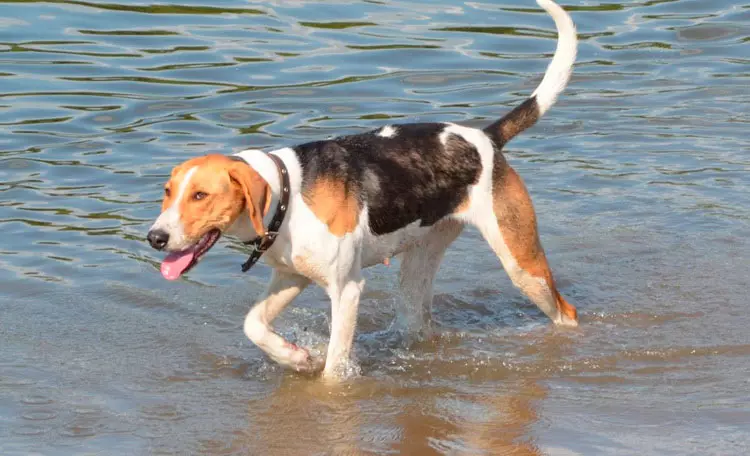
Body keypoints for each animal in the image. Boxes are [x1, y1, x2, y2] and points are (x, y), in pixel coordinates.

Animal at [148, 0, 580, 380]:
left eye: (200, 196)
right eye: (167, 192)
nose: (154, 238)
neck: (288, 196)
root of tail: (485, 138)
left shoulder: (347, 290)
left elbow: (335, 370)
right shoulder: (291, 277)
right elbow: (253, 325)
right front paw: (296, 357)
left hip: (522, 264)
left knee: (566, 312)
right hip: (418, 267)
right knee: (420, 320)